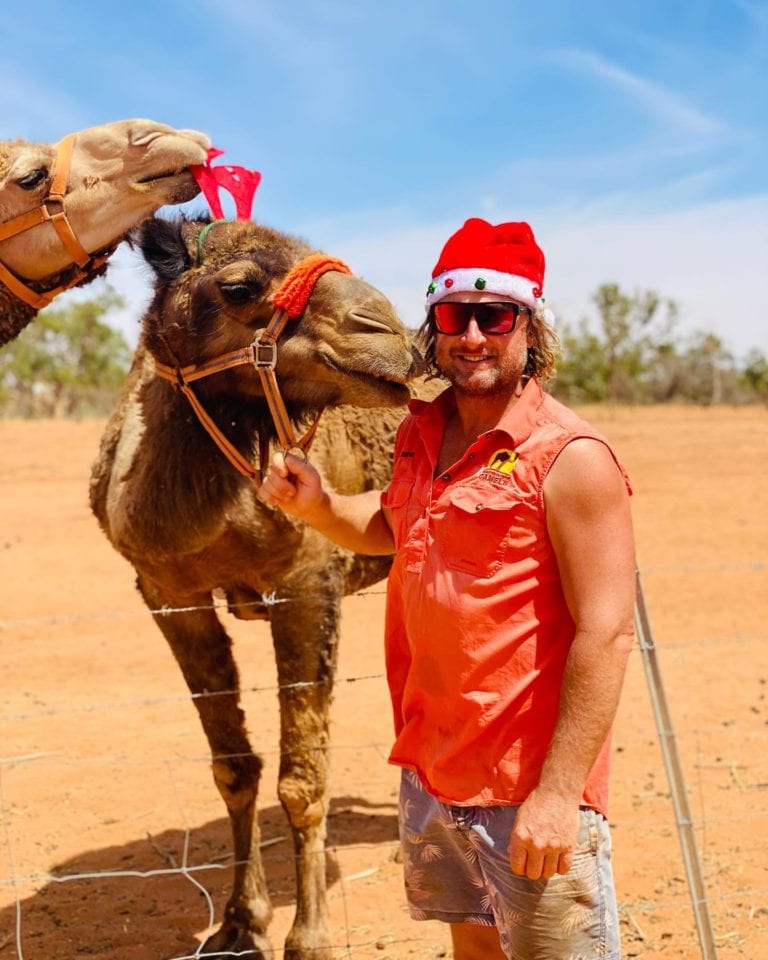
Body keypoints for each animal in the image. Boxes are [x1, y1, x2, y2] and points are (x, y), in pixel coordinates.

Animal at [89, 214, 422, 959]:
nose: (390, 332)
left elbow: (302, 779)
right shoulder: (168, 593)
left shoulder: (306, 582)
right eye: (239, 285)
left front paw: (310, 936)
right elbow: (234, 768)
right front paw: (241, 922)